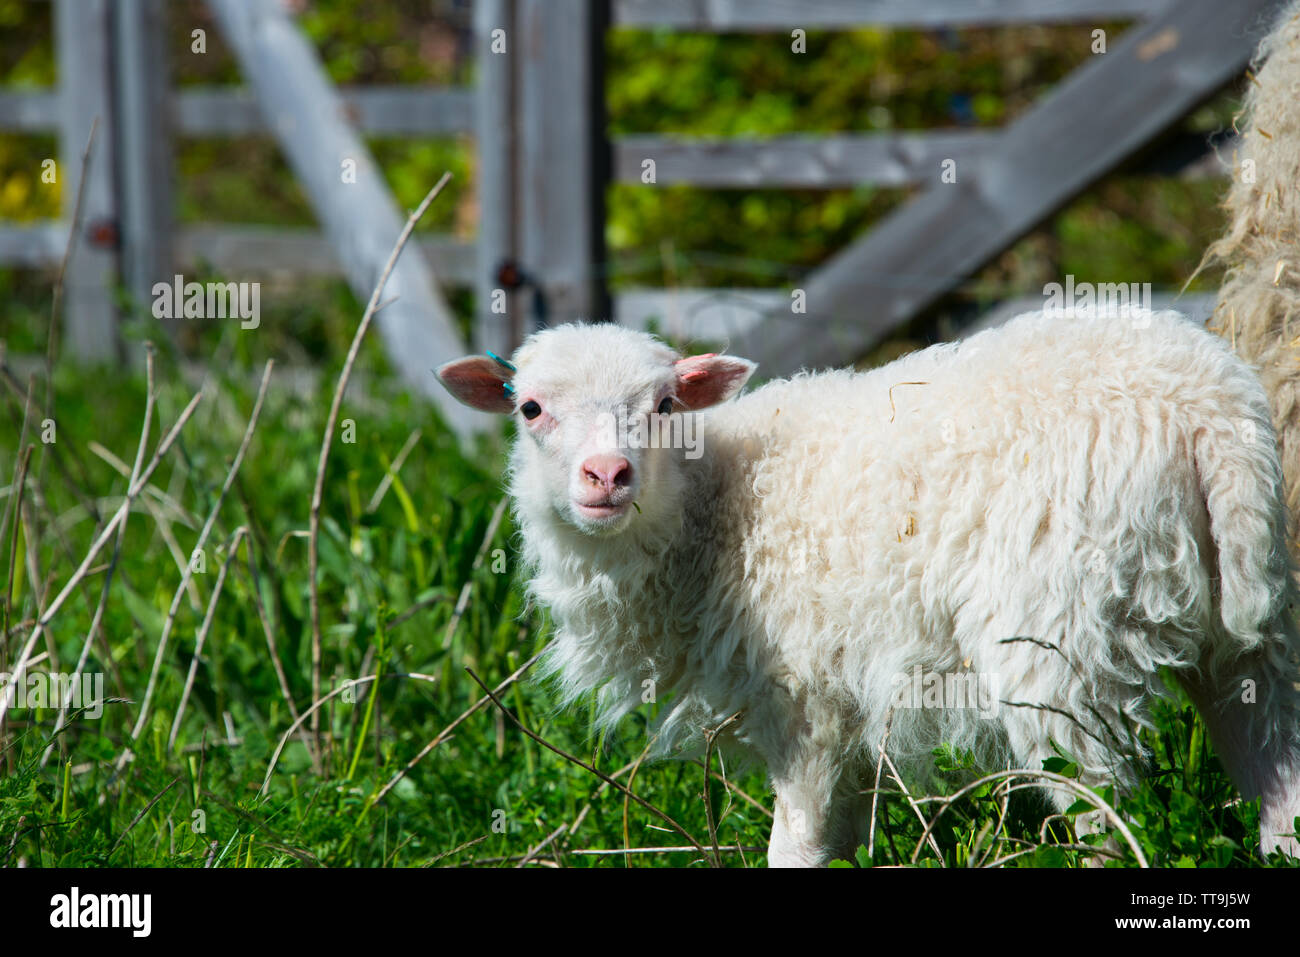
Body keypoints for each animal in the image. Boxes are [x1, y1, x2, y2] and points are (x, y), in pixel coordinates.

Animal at [438, 310, 1300, 867]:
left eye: (666, 404)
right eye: (530, 407)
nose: (606, 475)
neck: (712, 506)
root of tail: (1209, 410)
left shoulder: (806, 698)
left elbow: (797, 846)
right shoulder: (845, 710)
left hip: (1061, 642)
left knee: (1107, 813)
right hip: (1252, 629)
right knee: (1278, 771)